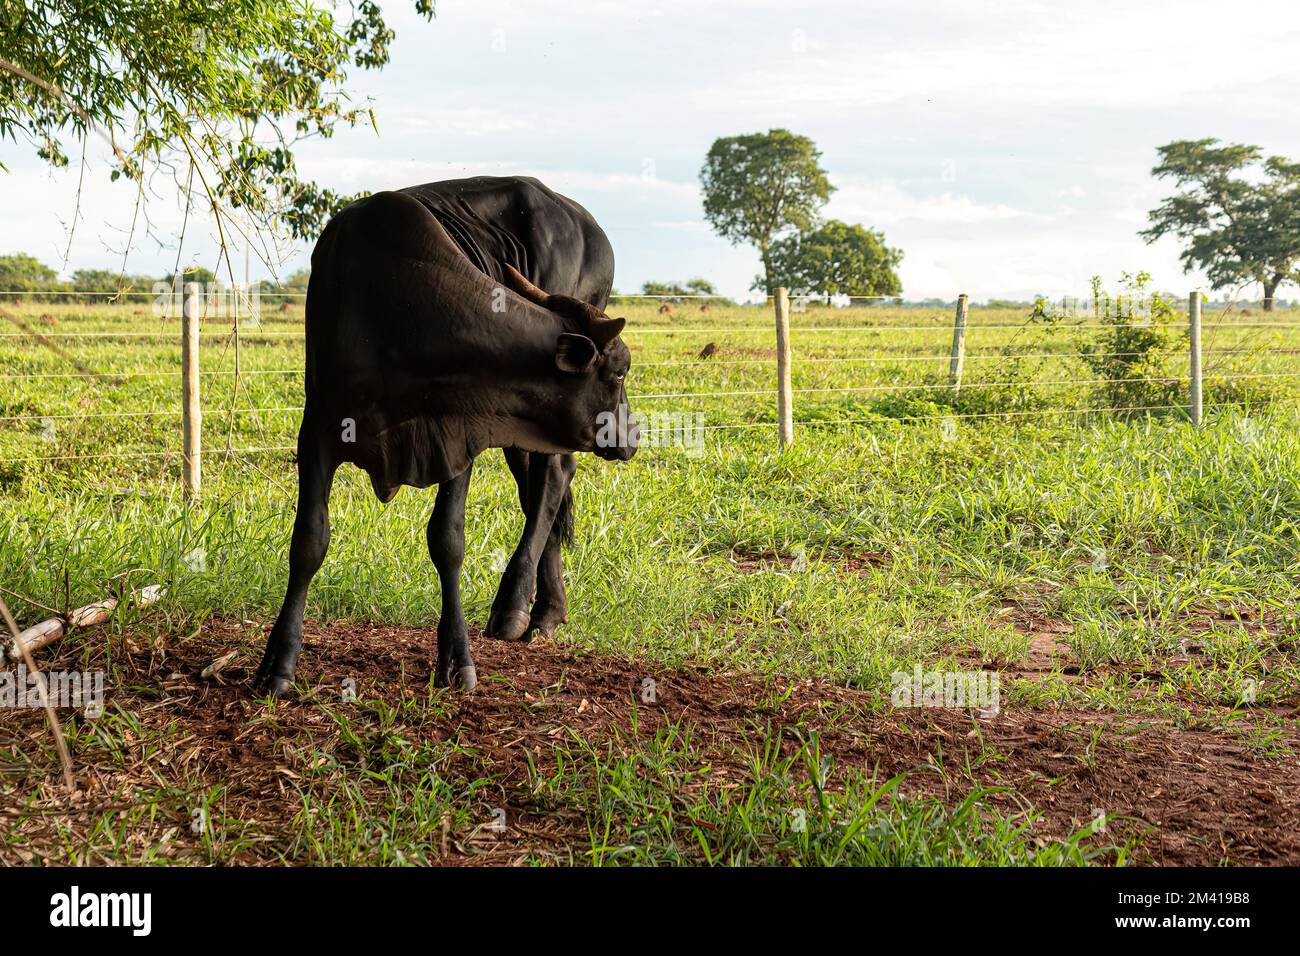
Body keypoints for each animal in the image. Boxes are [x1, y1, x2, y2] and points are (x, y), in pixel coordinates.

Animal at [254, 178, 636, 698]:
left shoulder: (457, 438)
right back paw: (544, 610)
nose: (631, 435)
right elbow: (309, 540)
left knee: (551, 482)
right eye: (620, 372)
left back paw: (514, 604)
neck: (397, 313)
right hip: (522, 429)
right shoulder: (316, 431)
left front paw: (457, 658)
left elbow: (447, 540)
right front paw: (279, 661)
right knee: (540, 488)